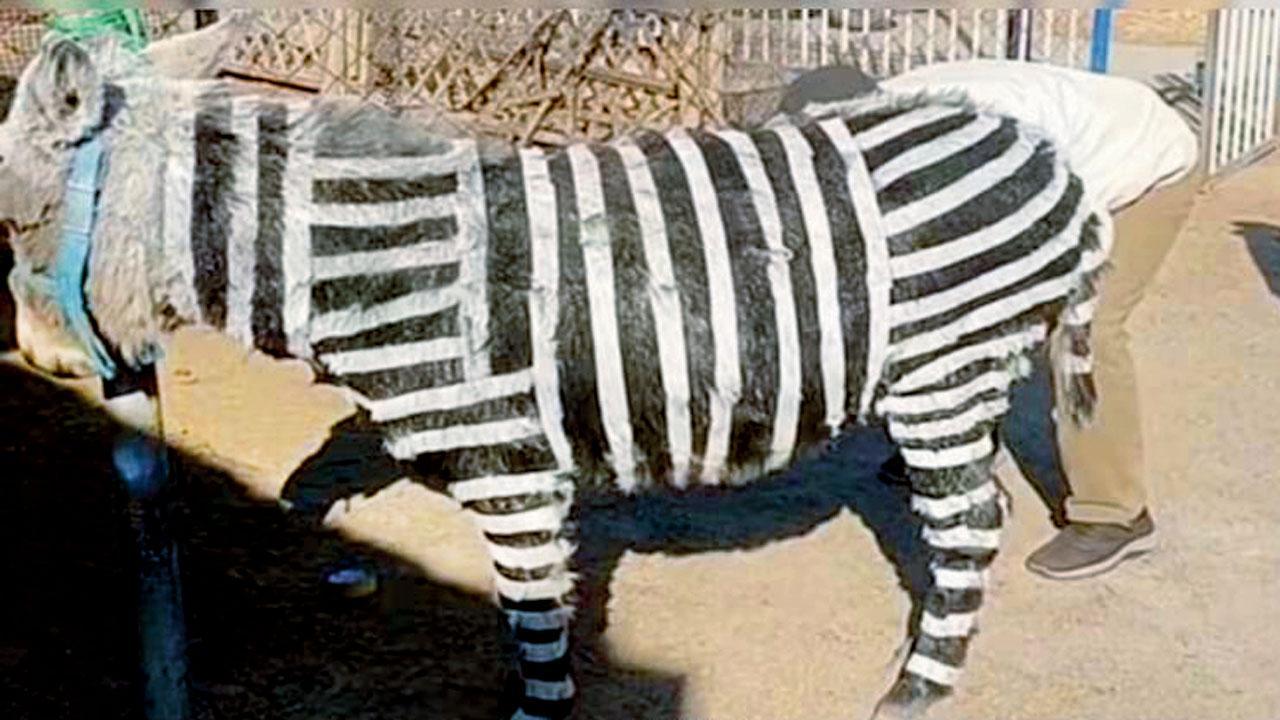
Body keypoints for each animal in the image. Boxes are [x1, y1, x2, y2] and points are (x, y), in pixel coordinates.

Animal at [0, 37, 1108, 720]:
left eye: (16, 220)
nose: (47, 365)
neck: (383, 259)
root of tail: (1044, 155)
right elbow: (532, 610)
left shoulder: (513, 469)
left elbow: (530, 611)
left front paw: (540, 706)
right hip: (961, 379)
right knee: (980, 513)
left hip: (942, 373)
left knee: (968, 526)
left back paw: (919, 687)